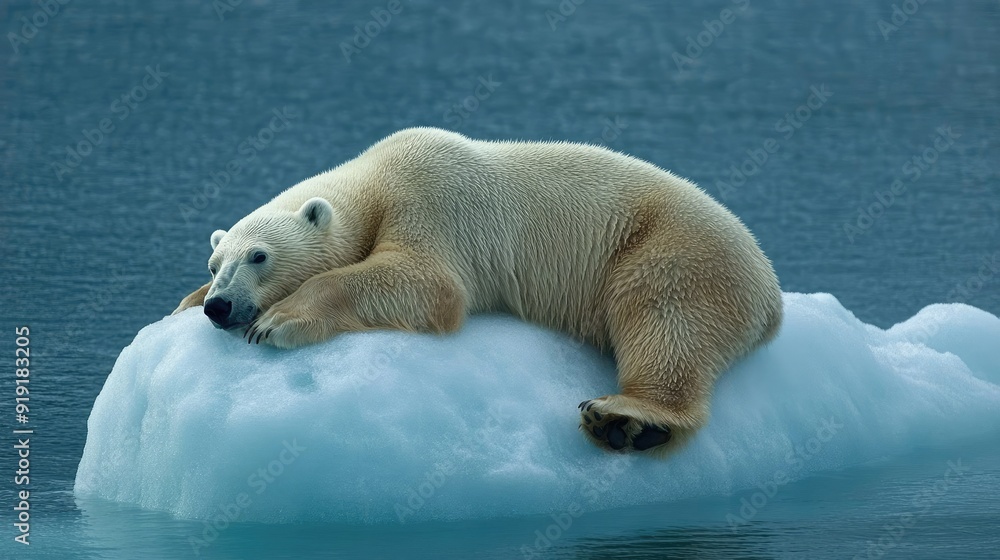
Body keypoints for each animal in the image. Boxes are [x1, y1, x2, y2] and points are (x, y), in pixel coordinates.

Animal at [173, 127, 782, 454]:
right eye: (215, 261)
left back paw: (622, 417)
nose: (221, 306)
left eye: (259, 256)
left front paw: (277, 320)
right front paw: (185, 301)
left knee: (664, 319)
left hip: (672, 251)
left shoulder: (433, 197)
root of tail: (771, 291)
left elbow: (428, 282)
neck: (377, 176)